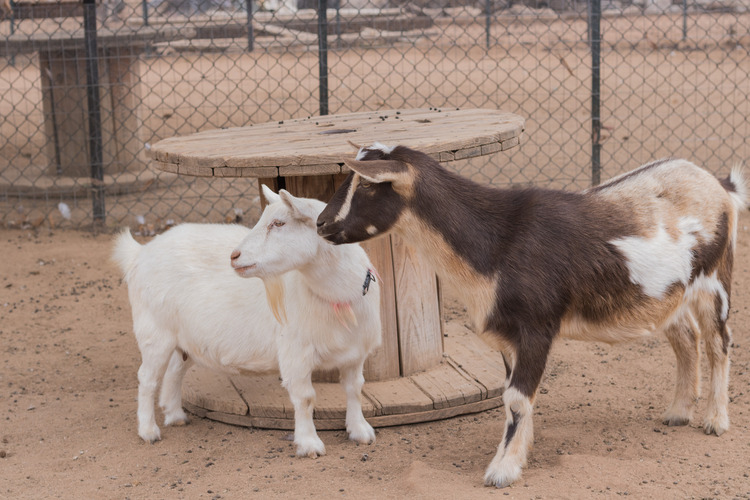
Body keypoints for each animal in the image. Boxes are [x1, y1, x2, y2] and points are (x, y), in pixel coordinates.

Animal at [112, 186, 381, 458]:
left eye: (279, 223)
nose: (234, 256)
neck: (337, 297)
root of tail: (139, 254)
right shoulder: (296, 353)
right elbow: (305, 398)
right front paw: (309, 444)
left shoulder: (355, 354)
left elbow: (355, 388)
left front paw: (360, 431)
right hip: (154, 332)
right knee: (147, 379)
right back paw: (148, 431)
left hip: (185, 337)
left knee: (174, 370)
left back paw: (175, 415)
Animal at [316, 143, 747, 487]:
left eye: (368, 184)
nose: (320, 224)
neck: (497, 241)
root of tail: (719, 185)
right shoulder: (508, 337)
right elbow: (514, 398)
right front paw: (520, 453)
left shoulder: (537, 328)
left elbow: (517, 398)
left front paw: (502, 470)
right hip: (671, 294)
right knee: (686, 338)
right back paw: (678, 412)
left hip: (716, 279)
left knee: (719, 342)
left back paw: (715, 420)